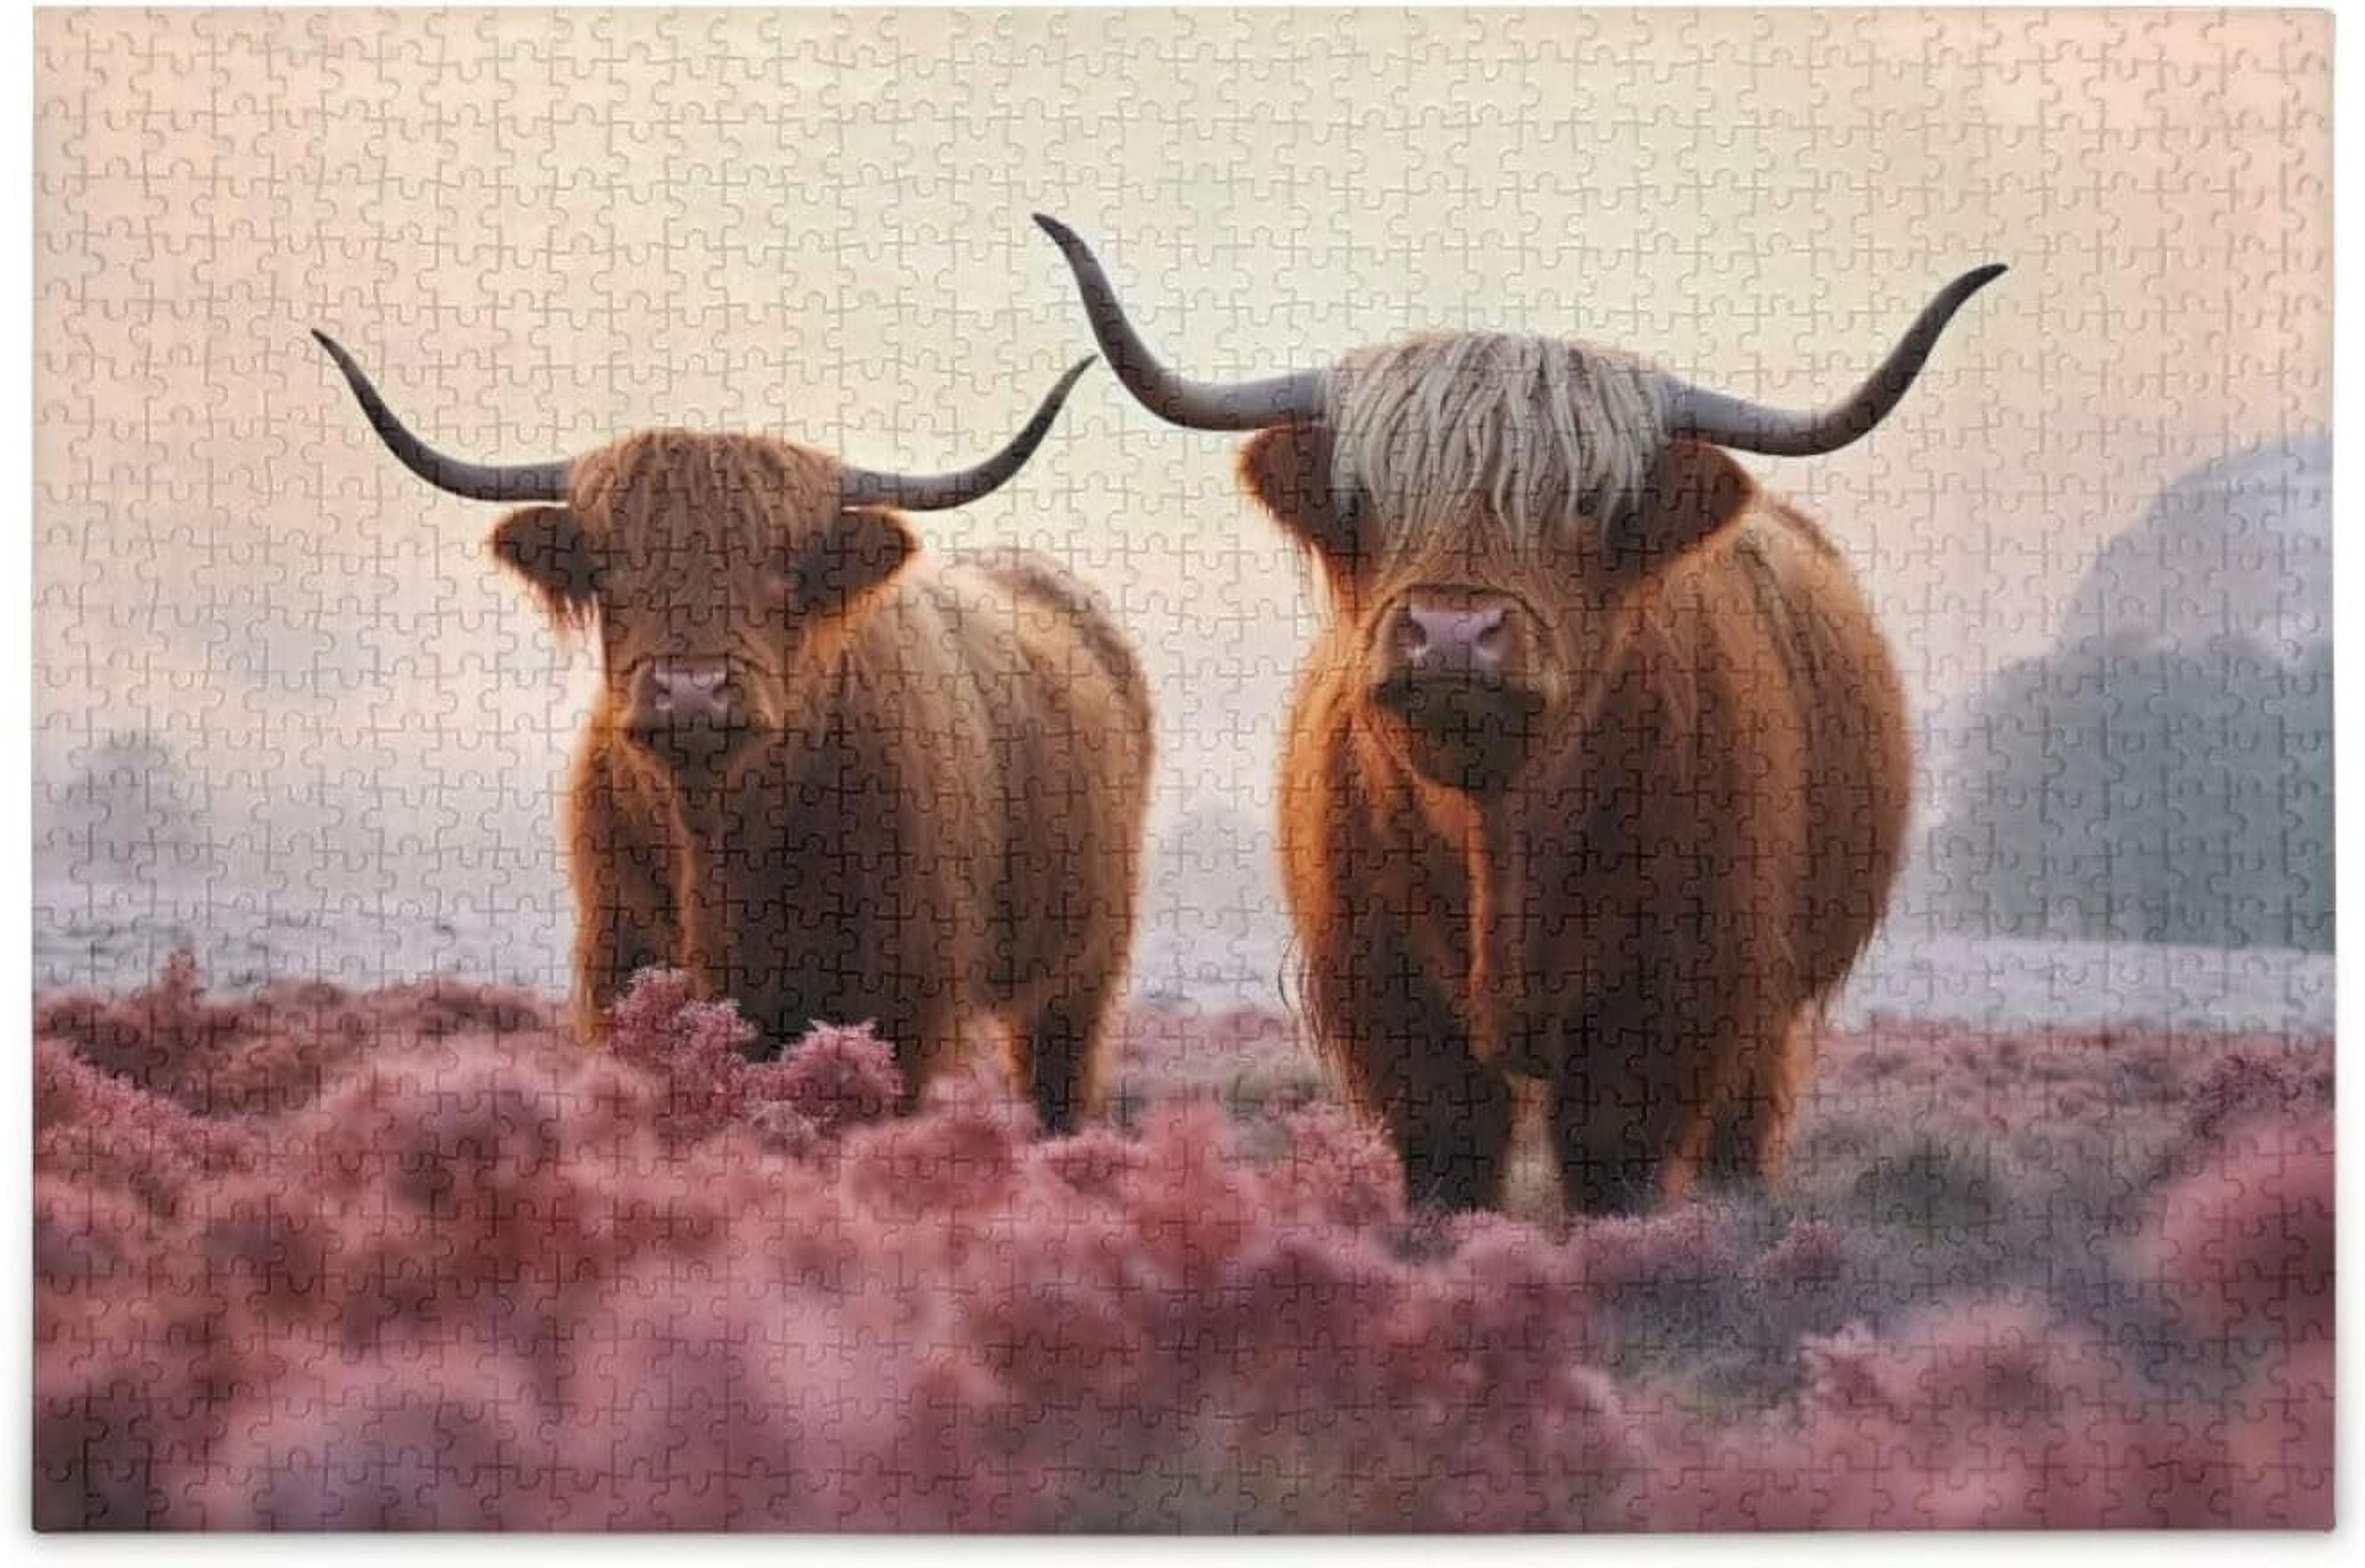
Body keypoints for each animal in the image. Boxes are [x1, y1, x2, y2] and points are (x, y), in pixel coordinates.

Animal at [315, 334, 1154, 1131]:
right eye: (614, 572)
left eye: (785, 570)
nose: (693, 691)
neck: (718, 837)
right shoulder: (627, 970)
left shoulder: (899, 1003)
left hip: (1081, 975)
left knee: (1057, 1084)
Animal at [1036, 214, 2001, 1211]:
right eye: (1366, 496)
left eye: (1586, 500)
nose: (1452, 632)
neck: (1497, 825)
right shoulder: (1395, 1006)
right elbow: (1450, 1154)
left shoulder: (1673, 1002)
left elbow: (1613, 1160)